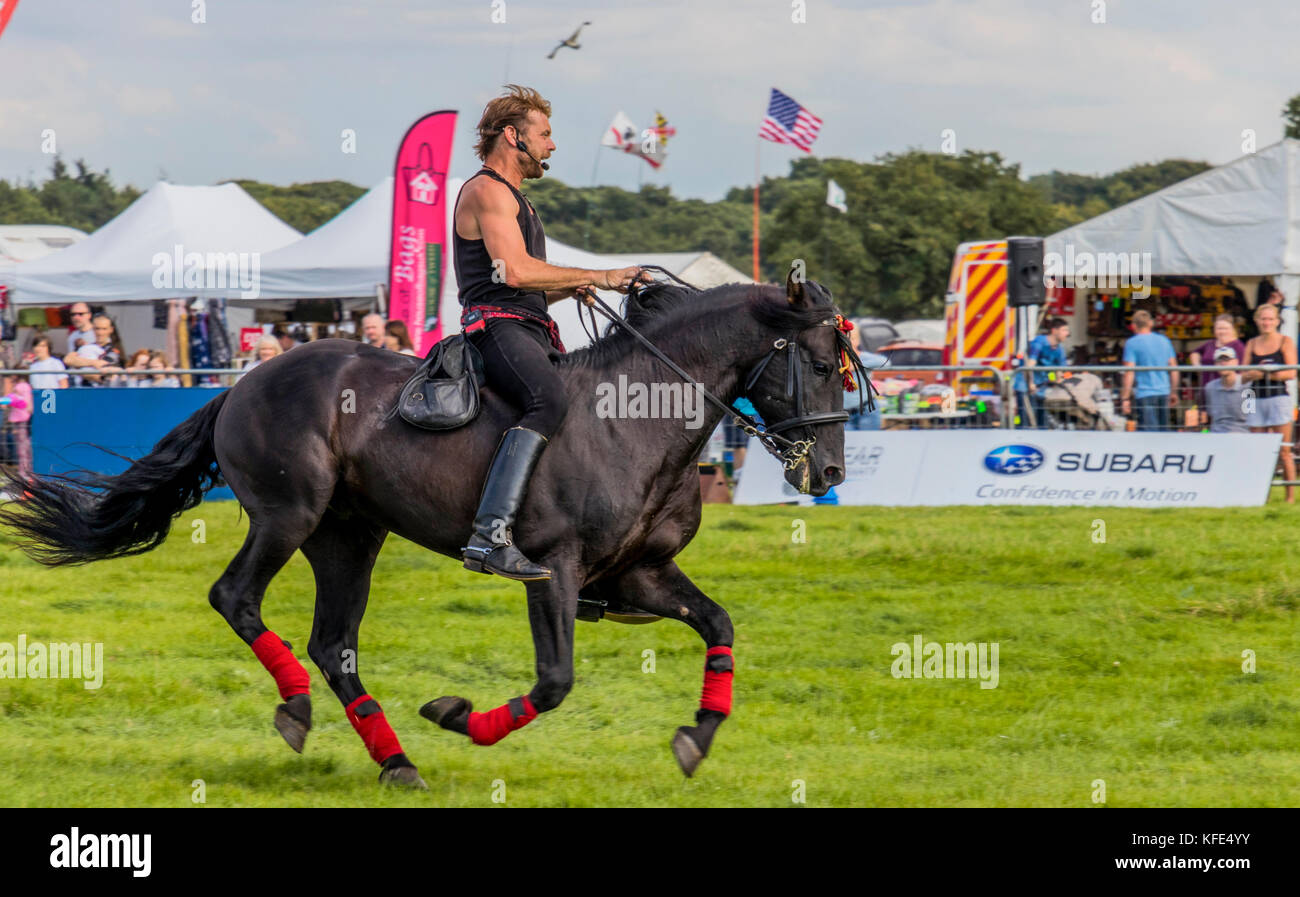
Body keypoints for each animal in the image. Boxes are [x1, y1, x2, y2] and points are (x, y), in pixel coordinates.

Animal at [0, 274, 854, 788]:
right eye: (817, 364)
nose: (828, 472)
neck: (636, 418)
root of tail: (246, 380)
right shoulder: (553, 568)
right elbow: (553, 682)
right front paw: (458, 716)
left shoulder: (640, 574)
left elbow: (720, 624)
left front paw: (698, 734)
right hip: (289, 515)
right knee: (236, 597)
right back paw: (300, 709)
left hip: (349, 536)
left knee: (334, 643)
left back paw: (394, 760)